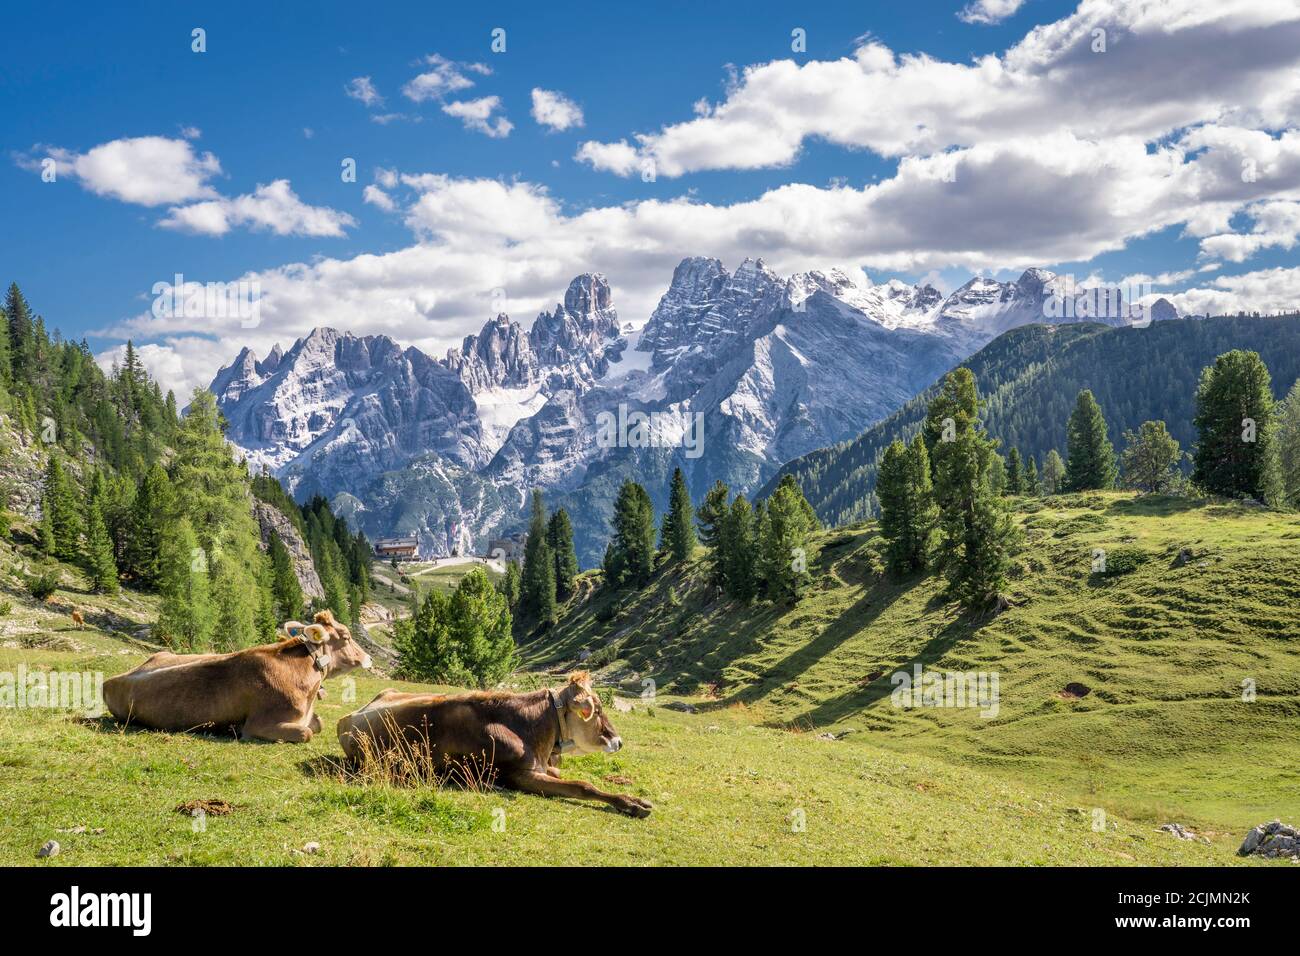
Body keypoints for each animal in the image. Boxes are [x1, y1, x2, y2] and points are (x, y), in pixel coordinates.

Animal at [103, 610, 370, 742]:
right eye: (346, 636)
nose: (369, 658)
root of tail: (109, 680)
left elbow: (319, 723)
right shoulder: (259, 725)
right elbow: (306, 733)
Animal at [337, 672, 653, 818]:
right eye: (596, 710)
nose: (619, 741)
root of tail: (347, 717)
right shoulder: (520, 774)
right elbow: (582, 786)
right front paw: (632, 803)